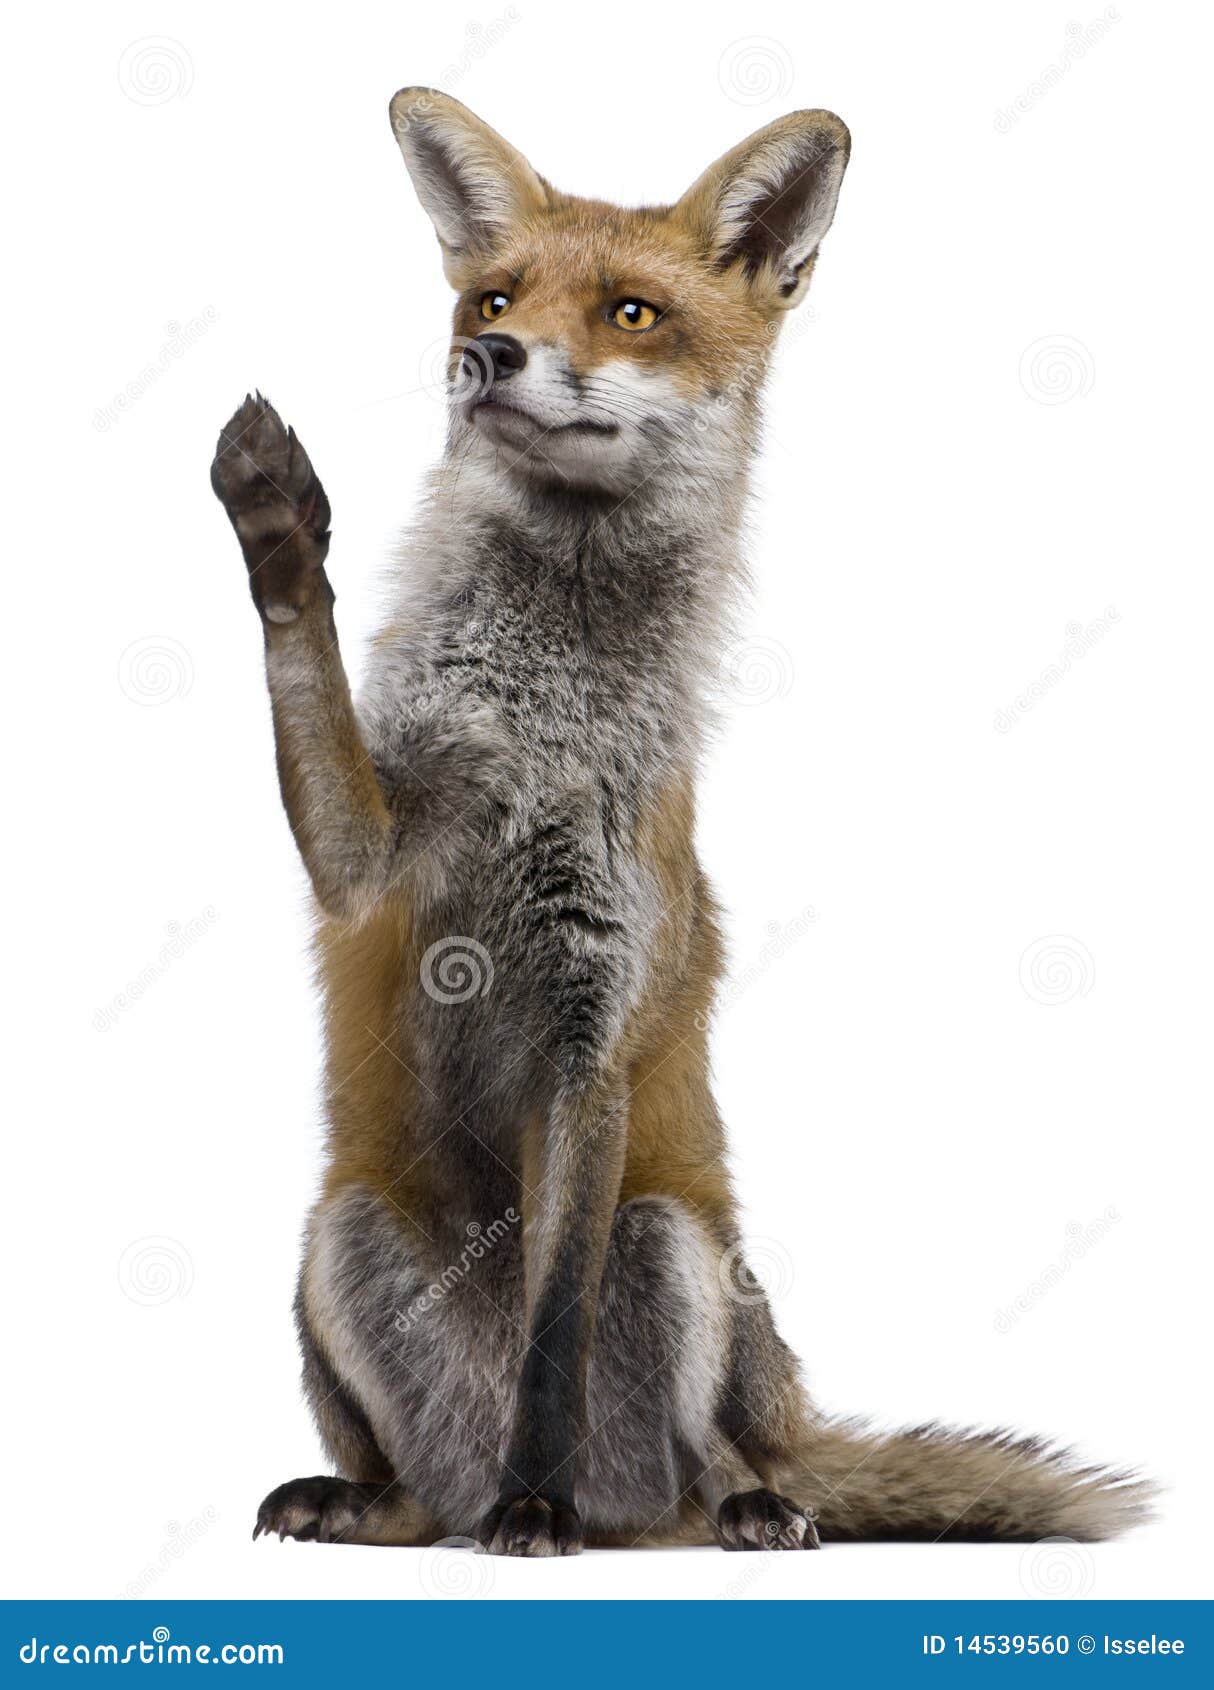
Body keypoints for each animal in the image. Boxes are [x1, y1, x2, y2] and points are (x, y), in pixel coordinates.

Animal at [210, 88, 1150, 1556]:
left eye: (631, 313)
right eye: (493, 293)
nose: (487, 355)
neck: (544, 722)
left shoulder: (591, 1038)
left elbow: (554, 1332)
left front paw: (533, 1504)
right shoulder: (367, 860)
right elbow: (303, 661)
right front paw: (273, 519)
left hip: (675, 1249)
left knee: (702, 1466)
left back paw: (704, 1505)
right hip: (342, 1235)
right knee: (418, 1492)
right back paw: (383, 1495)